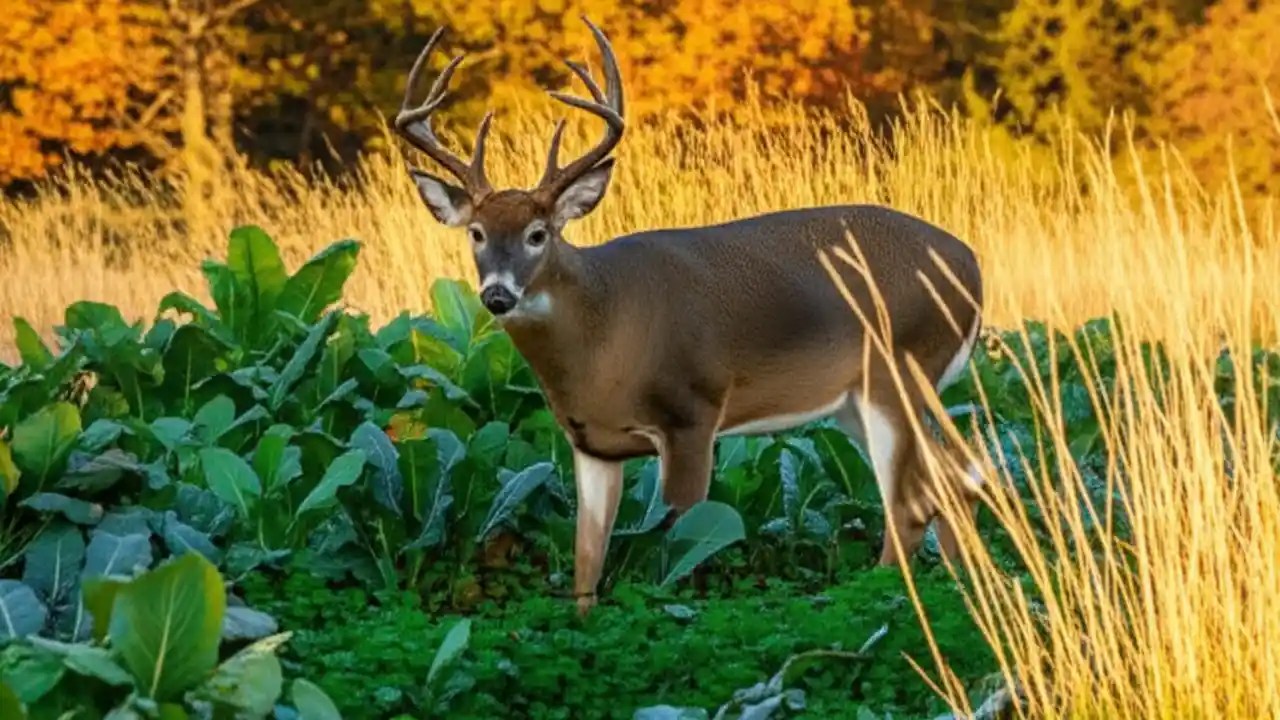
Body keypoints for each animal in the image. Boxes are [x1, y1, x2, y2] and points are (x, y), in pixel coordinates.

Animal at [393, 18, 987, 616]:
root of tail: (973, 264)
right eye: (476, 233)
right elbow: (587, 565)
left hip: (896, 372)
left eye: (538, 234)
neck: (604, 333)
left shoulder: (692, 413)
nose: (496, 295)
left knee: (910, 502)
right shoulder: (591, 443)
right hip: (857, 403)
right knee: (954, 482)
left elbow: (676, 546)